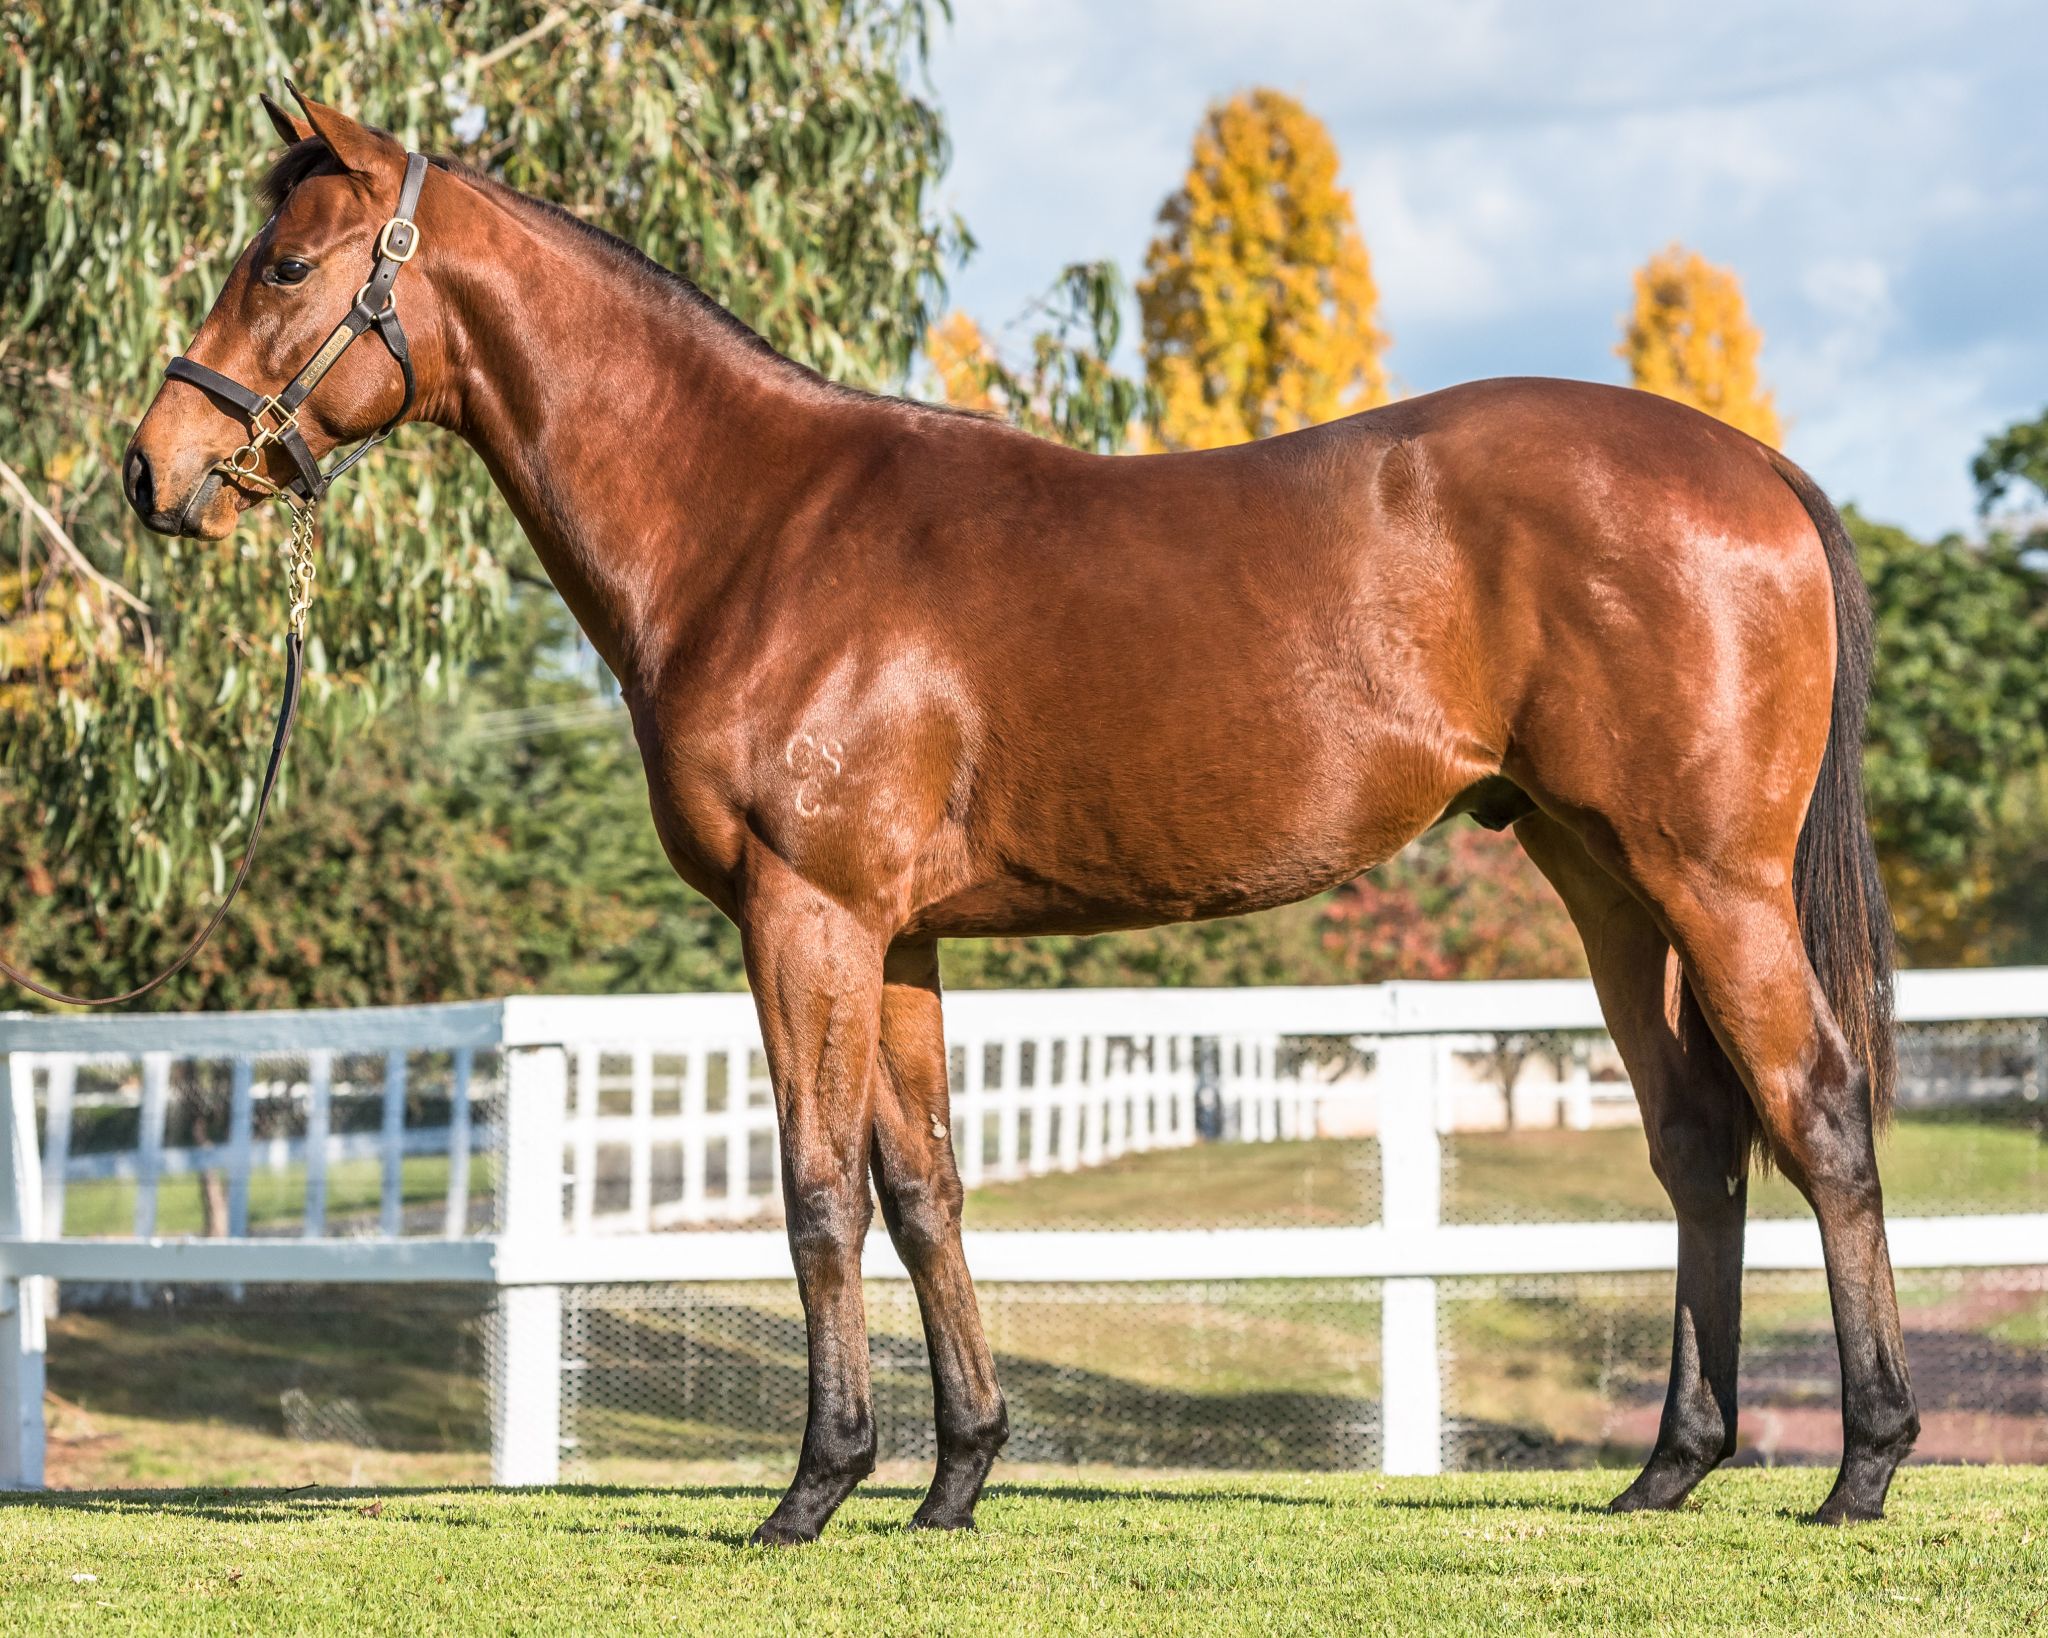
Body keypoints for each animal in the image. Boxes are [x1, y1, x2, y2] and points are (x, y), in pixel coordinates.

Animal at [124, 89, 1916, 1542]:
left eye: (283, 266)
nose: (156, 466)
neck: (752, 524)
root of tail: (1752, 469)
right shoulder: (897, 933)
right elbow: (925, 1187)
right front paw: (957, 1473)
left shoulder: (807, 913)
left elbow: (816, 1188)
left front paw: (814, 1484)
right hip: (1602, 876)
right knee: (1697, 1136)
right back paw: (1671, 1464)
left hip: (1712, 879)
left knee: (1819, 1112)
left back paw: (1863, 1461)